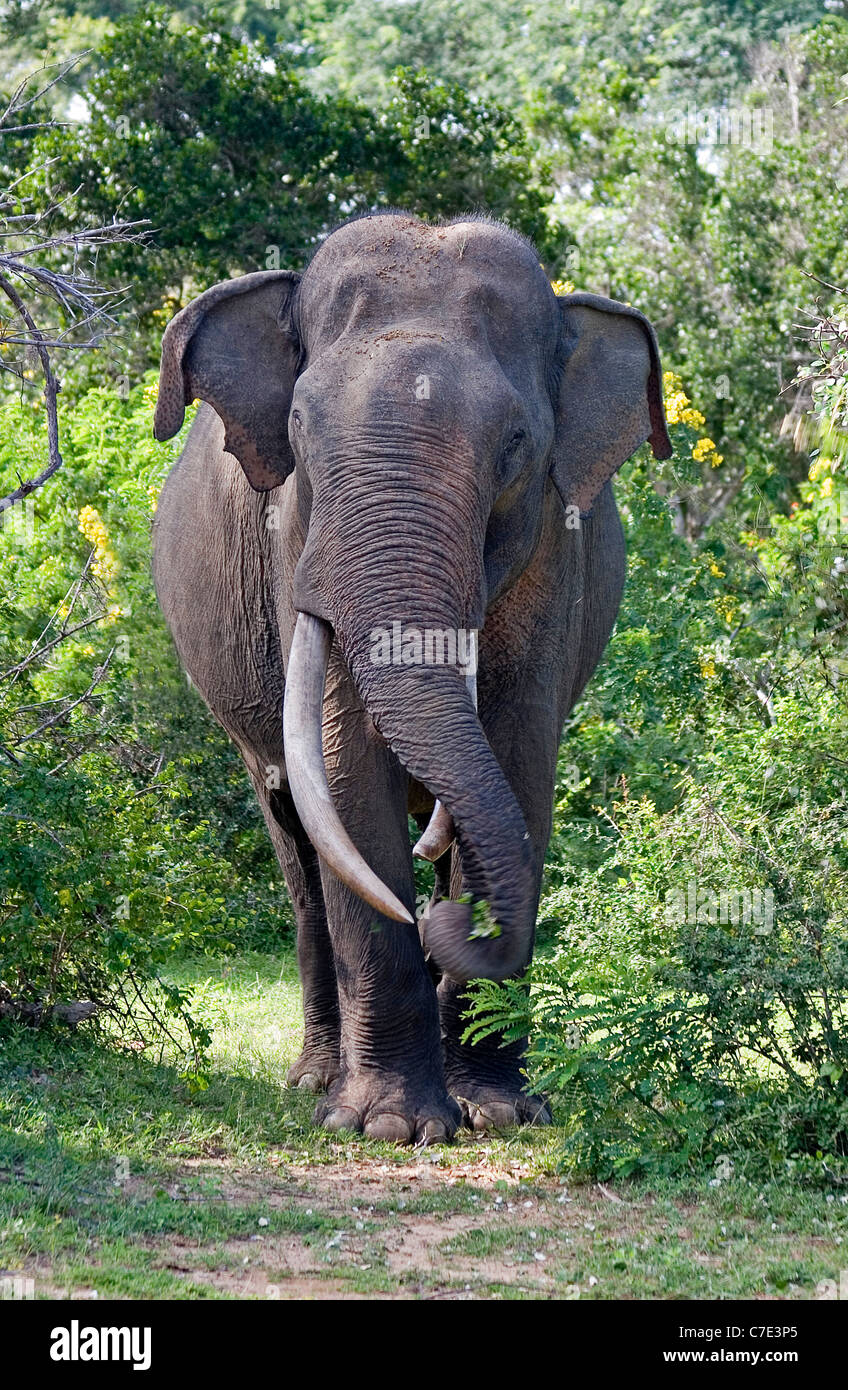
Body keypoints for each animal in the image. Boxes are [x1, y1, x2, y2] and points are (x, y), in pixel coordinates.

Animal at [152, 211, 671, 1144]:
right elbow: (344, 773)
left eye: (516, 445)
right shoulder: (295, 541)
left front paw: (497, 1112)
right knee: (298, 851)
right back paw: (316, 1079)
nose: (442, 929)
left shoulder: (554, 550)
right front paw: (387, 1126)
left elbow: (518, 764)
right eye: (298, 426)